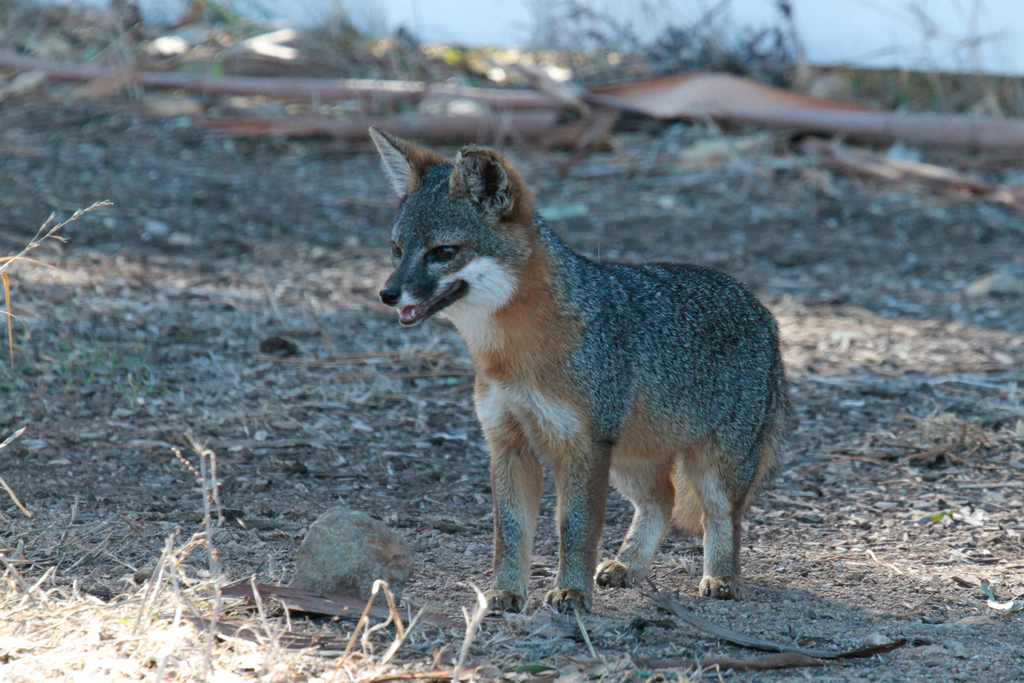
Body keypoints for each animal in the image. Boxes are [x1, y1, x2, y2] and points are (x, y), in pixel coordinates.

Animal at [369, 127, 790, 613]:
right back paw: (630, 565)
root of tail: (763, 310)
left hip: (711, 467)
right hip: (629, 458)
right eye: (397, 250)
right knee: (662, 501)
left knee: (723, 516)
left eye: (443, 252)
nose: (387, 294)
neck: (511, 354)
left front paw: (571, 591)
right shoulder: (507, 443)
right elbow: (510, 530)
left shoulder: (583, 446)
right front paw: (506, 591)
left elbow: (575, 527)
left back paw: (721, 576)